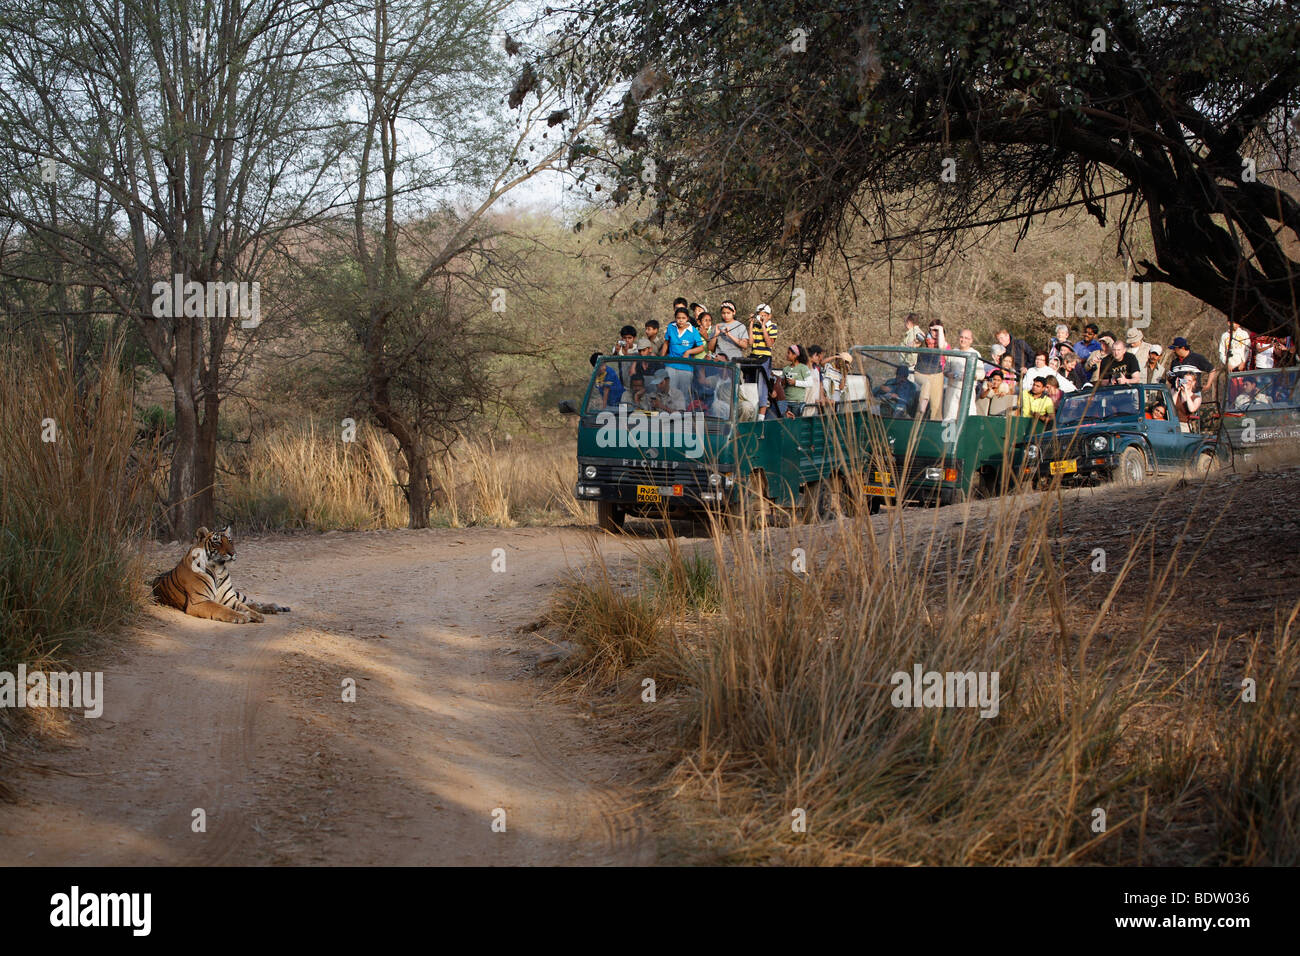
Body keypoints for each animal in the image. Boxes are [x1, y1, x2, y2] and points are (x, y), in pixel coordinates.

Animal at [151, 526, 290, 624]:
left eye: (230, 541)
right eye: (217, 542)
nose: (233, 553)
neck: (218, 568)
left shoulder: (230, 598)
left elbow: (245, 607)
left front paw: (257, 616)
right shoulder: (199, 601)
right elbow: (223, 609)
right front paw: (242, 617)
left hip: (237, 593)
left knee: (250, 602)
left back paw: (272, 607)